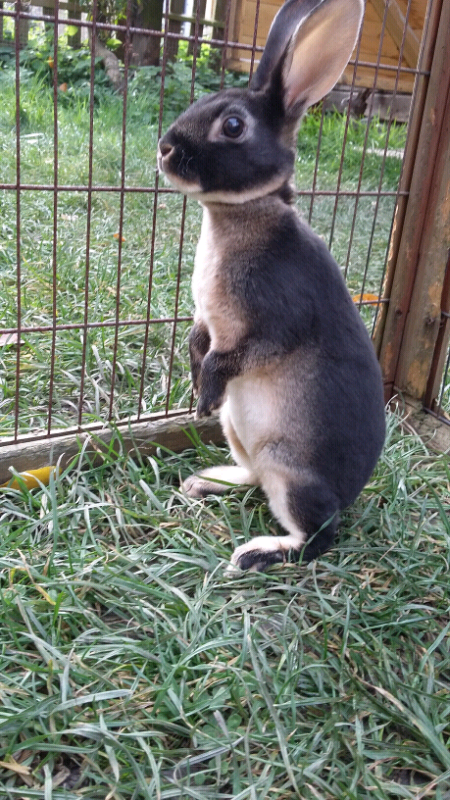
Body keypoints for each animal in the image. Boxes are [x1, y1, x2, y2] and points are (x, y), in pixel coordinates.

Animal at [157, 0, 386, 572]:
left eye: (233, 126)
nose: (165, 149)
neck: (244, 212)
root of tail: (347, 496)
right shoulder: (207, 320)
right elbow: (199, 340)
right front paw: (195, 382)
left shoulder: (276, 320)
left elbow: (235, 356)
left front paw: (203, 395)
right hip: (241, 436)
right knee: (252, 479)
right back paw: (203, 483)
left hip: (292, 472)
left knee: (316, 536)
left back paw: (255, 554)